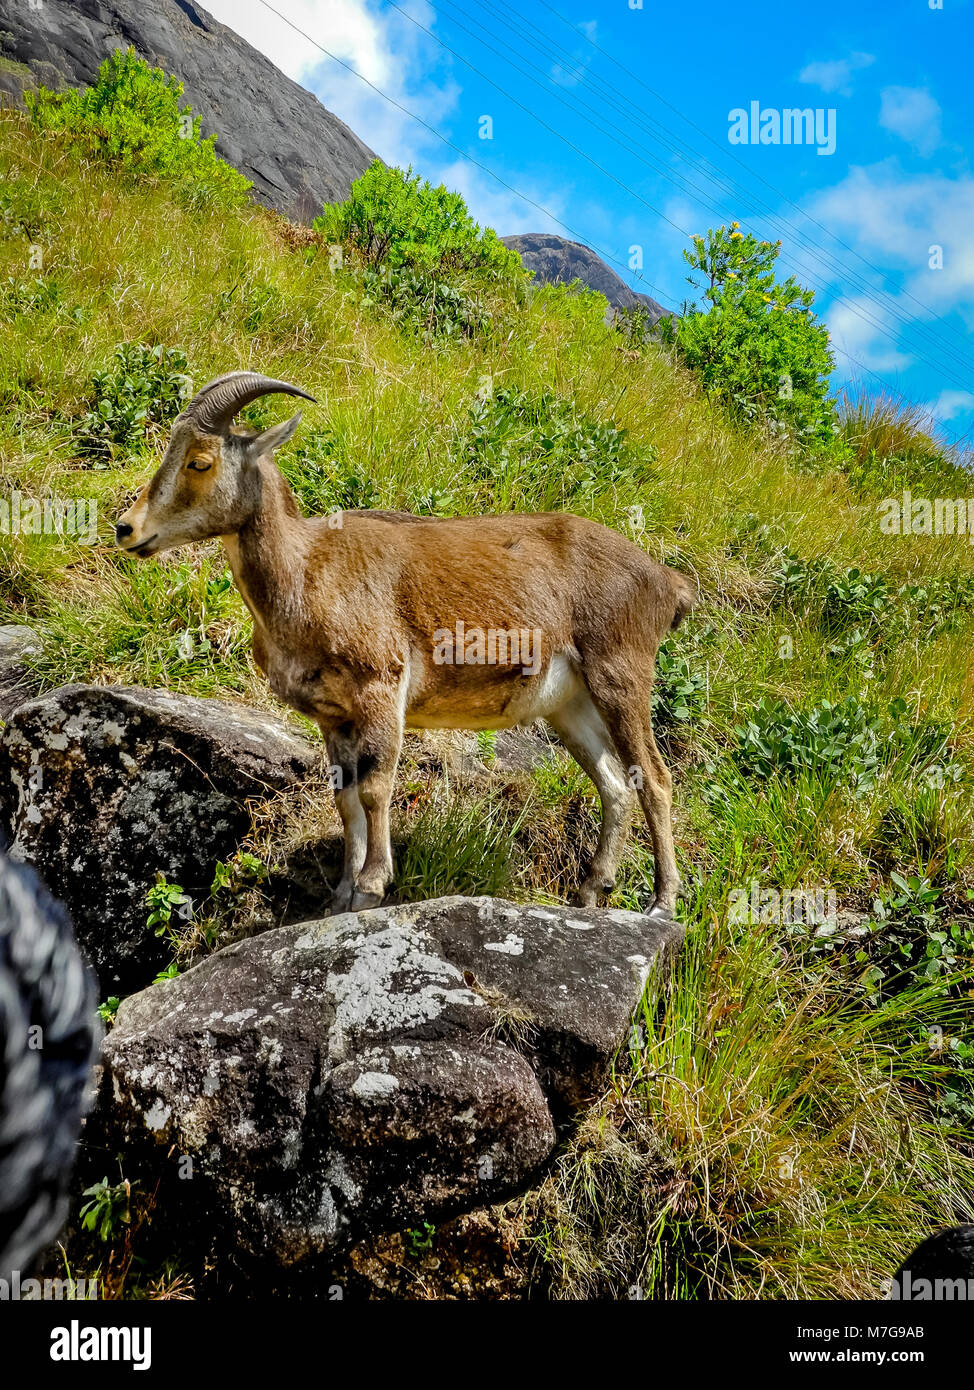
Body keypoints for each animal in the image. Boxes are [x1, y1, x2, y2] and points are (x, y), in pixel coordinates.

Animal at [116, 373, 696, 916]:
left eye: (199, 462)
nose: (127, 529)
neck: (305, 572)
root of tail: (666, 582)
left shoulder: (380, 688)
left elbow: (376, 788)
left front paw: (372, 886)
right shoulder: (334, 716)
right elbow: (346, 799)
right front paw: (339, 897)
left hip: (619, 675)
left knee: (655, 778)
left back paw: (662, 902)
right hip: (569, 705)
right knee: (615, 784)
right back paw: (591, 891)